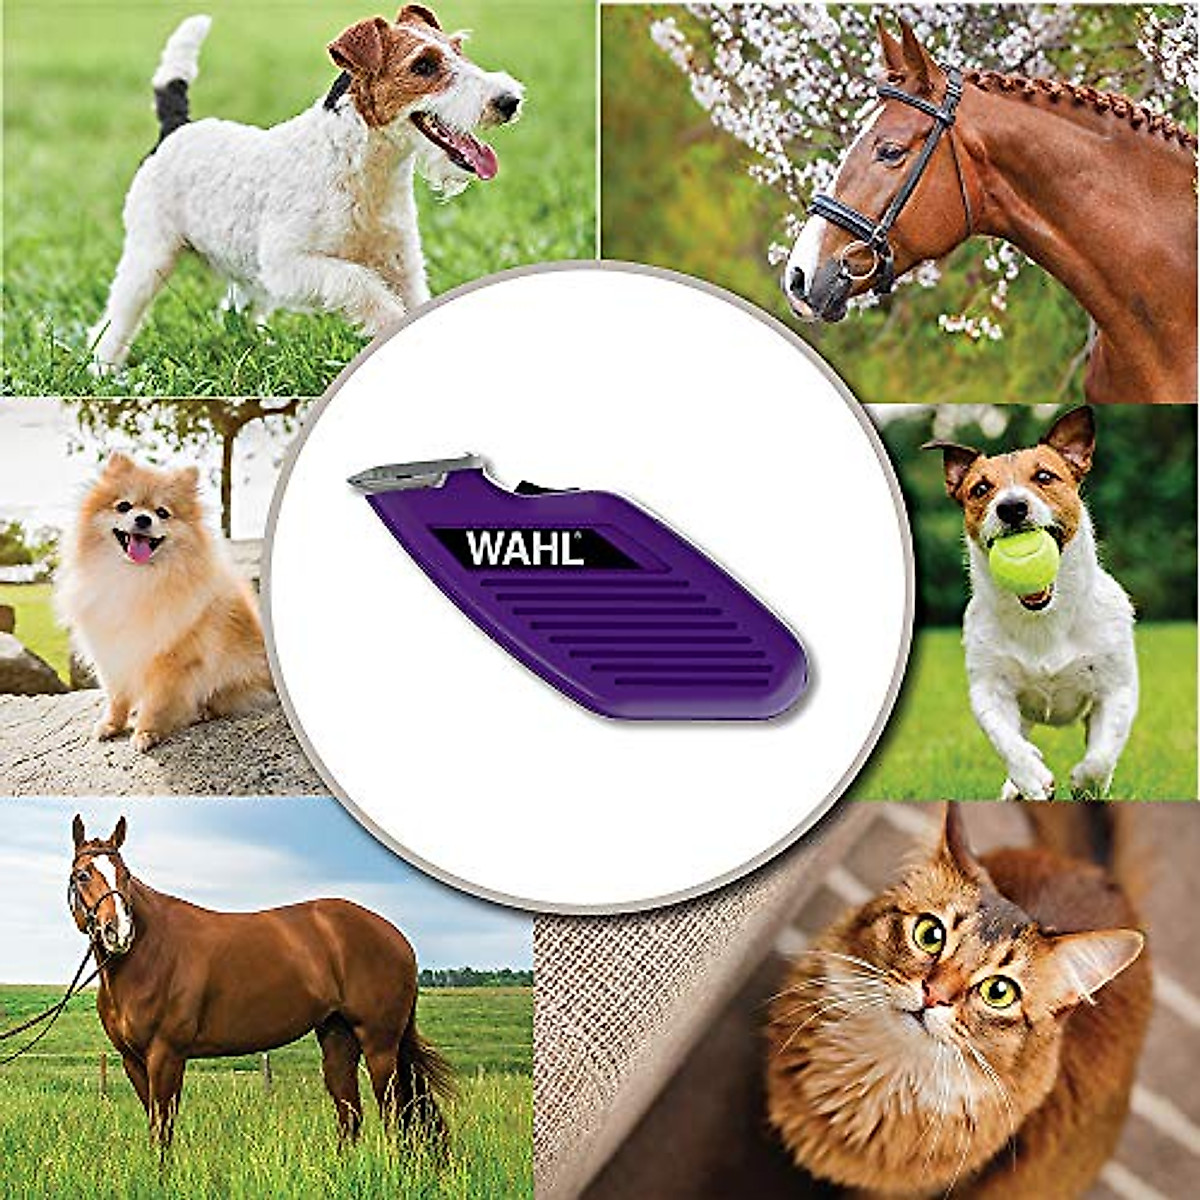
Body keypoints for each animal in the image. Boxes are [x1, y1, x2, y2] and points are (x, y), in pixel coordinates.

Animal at [68, 814, 453, 1153]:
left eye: (126, 875)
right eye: (83, 875)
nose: (119, 932)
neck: (150, 953)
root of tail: (397, 937)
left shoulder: (166, 1055)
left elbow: (163, 1130)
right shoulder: (132, 1061)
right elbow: (155, 1126)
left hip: (379, 1044)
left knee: (396, 1115)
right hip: (338, 1037)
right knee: (351, 1116)